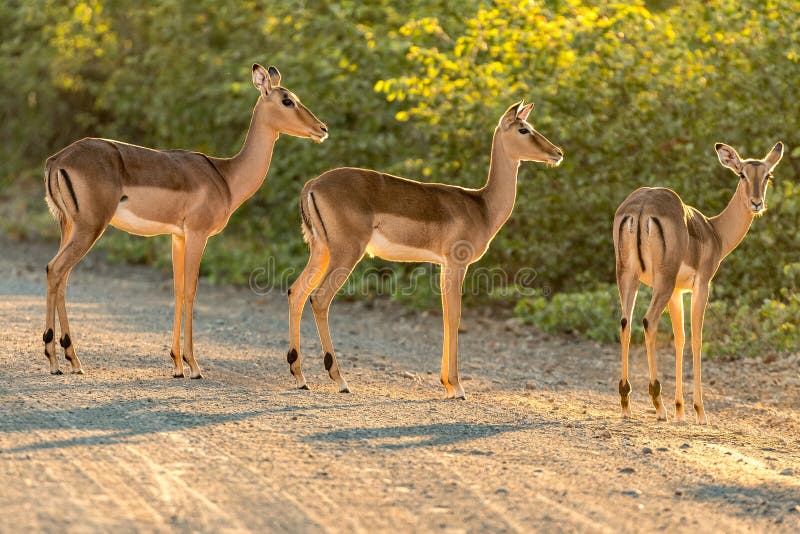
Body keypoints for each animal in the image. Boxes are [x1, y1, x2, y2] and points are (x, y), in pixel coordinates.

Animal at [42, 64, 328, 378]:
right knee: (55, 269)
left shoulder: (177, 236)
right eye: (287, 100)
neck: (226, 177)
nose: (322, 129)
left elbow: (178, 290)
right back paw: (55, 360)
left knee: (61, 277)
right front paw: (193, 365)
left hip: (69, 227)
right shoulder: (197, 234)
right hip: (90, 227)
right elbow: (191, 291)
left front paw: (177, 363)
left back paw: (72, 359)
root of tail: (56, 160)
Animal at [286, 101, 563, 397]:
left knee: (297, 292)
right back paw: (340, 380)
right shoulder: (456, 264)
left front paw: (447, 385)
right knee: (319, 298)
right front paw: (457, 386)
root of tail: (311, 185)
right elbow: (454, 317)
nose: (557, 153)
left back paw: (300, 377)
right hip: (346, 253)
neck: (483, 207)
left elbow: (445, 316)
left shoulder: (443, 266)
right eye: (524, 129)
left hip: (321, 251)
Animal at [614, 141, 784, 424]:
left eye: (767, 175)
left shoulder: (677, 292)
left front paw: (680, 409)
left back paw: (627, 402)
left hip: (628, 276)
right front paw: (699, 411)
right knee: (648, 321)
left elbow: (679, 338)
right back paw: (658, 405)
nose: (756, 203)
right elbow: (696, 338)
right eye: (742, 174)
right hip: (661, 282)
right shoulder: (701, 285)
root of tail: (641, 207)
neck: (714, 232)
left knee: (625, 322)